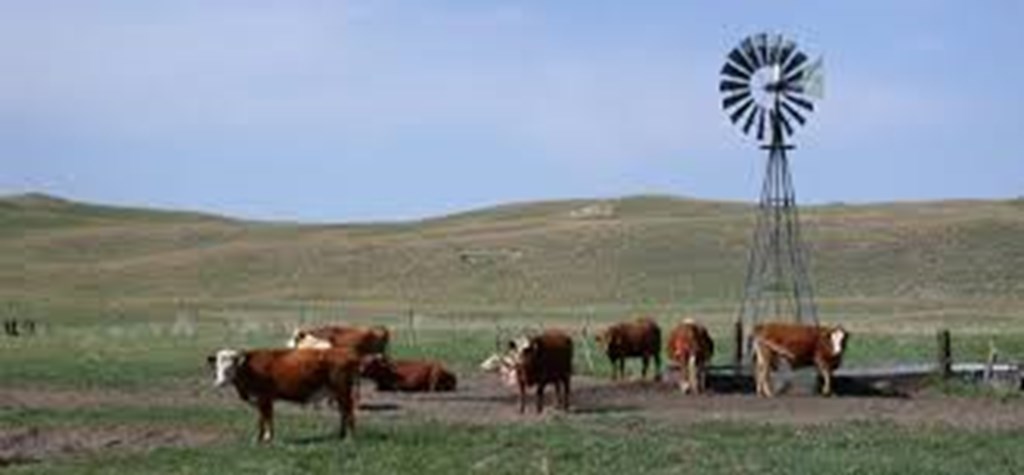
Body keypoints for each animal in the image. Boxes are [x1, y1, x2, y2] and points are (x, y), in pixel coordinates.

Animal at [207, 347, 359, 442]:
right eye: (217, 367)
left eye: (230, 366)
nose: (219, 382)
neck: (249, 368)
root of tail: (347, 354)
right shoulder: (265, 399)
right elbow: (267, 417)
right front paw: (267, 437)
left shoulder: (263, 397)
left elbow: (263, 418)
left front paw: (262, 438)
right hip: (338, 392)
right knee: (343, 412)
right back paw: (341, 434)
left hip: (342, 390)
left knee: (349, 411)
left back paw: (350, 437)